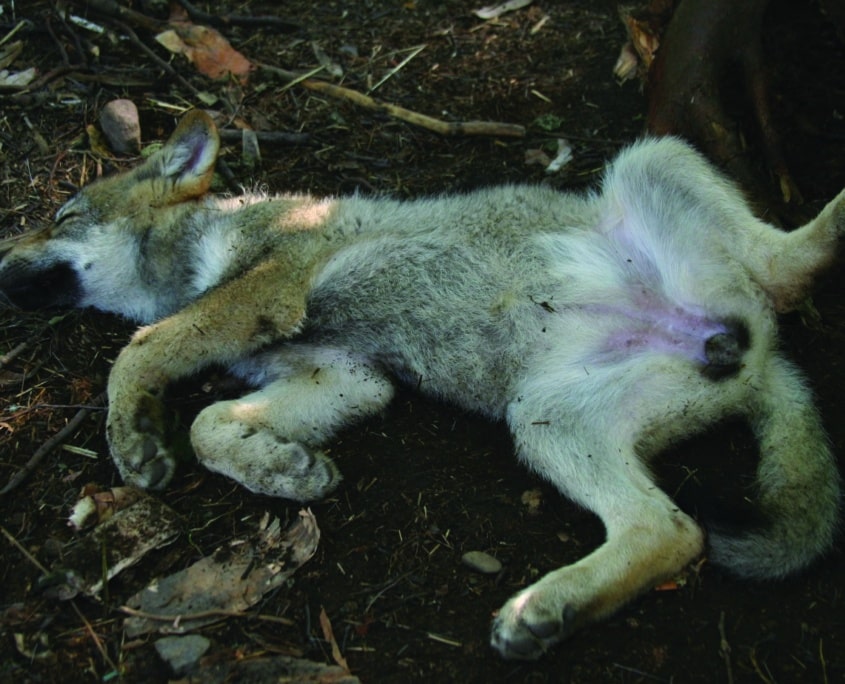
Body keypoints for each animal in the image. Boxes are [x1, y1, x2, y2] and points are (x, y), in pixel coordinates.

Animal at [0, 111, 841, 659]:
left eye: (62, 213)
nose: (4, 258)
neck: (203, 247)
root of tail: (750, 347)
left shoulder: (269, 289)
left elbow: (140, 351)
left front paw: (131, 438)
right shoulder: (346, 378)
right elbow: (212, 427)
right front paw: (285, 470)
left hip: (651, 160)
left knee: (788, 266)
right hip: (542, 422)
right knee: (671, 532)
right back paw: (548, 611)